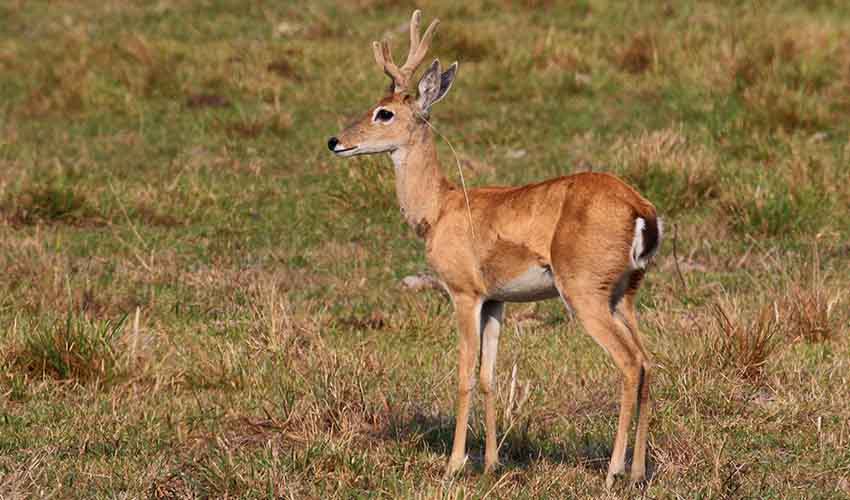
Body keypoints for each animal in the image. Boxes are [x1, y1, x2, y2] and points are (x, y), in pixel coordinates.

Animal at [327, 10, 662, 487]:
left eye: (384, 111)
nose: (335, 141)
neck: (440, 208)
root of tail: (641, 208)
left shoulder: (464, 293)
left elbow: (464, 374)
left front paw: (454, 463)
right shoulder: (496, 301)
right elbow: (489, 376)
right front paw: (490, 462)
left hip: (585, 293)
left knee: (630, 363)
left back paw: (613, 471)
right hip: (624, 296)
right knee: (649, 362)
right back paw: (637, 471)